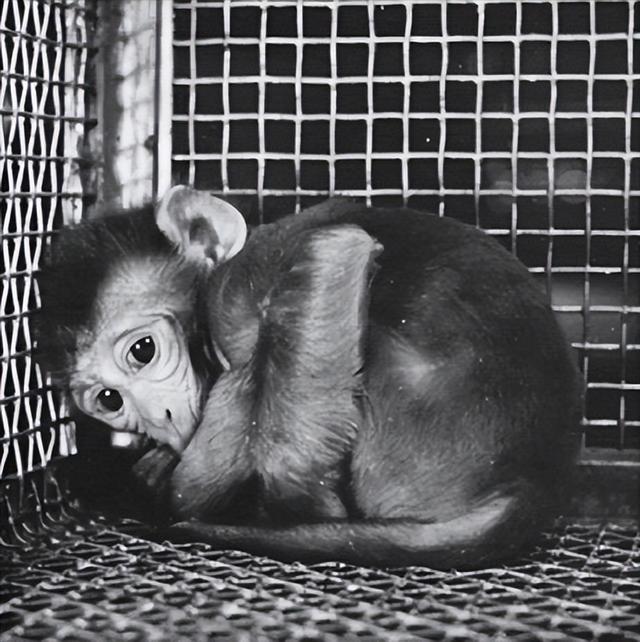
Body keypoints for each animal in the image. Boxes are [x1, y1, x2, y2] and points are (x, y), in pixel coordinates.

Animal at [37, 187, 581, 569]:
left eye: (143, 351)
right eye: (111, 400)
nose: (160, 418)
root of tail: (535, 483)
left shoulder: (237, 289)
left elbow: (338, 250)